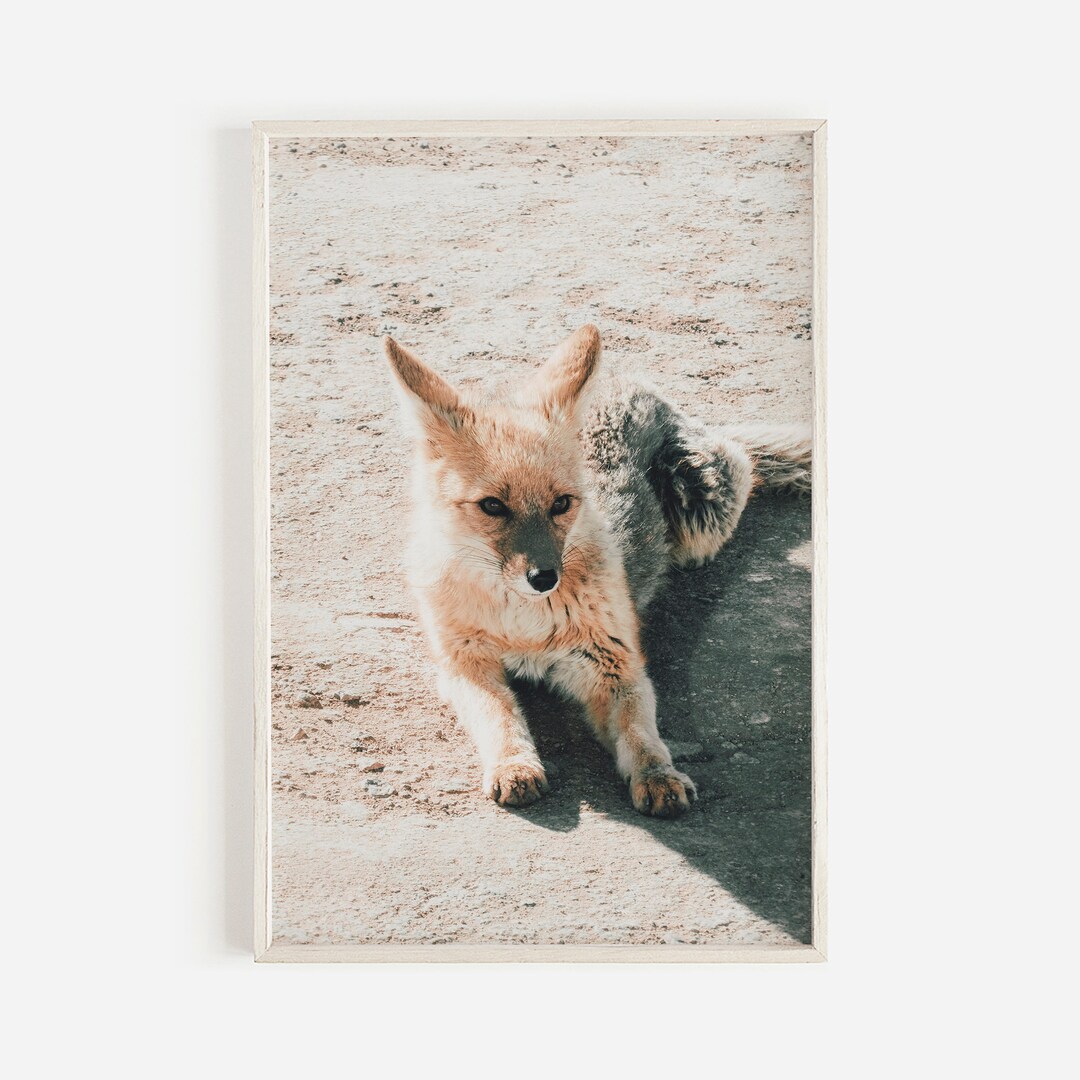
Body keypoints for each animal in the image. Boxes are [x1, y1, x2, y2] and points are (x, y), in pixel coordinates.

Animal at [384, 324, 811, 818]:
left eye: (561, 504)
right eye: (492, 506)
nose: (544, 578)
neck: (523, 626)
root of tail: (625, 380)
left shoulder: (616, 666)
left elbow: (641, 734)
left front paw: (657, 775)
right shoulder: (463, 663)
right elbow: (499, 718)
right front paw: (514, 765)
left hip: (703, 511)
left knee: (744, 462)